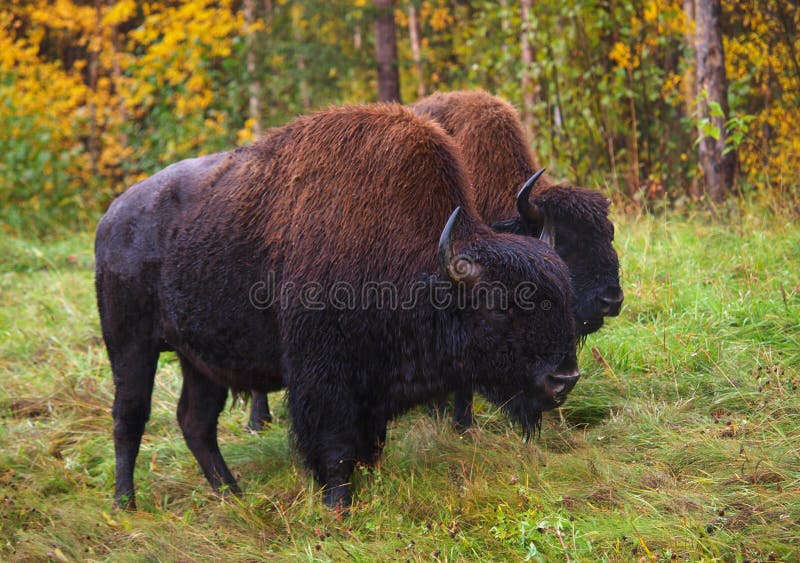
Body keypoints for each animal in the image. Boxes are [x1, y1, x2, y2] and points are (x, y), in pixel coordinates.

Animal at [96, 104, 579, 509]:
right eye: (499, 307)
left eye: (561, 298)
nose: (564, 379)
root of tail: (111, 217)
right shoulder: (325, 377)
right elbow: (334, 446)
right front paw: (337, 504)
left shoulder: (373, 386)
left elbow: (369, 444)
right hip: (131, 346)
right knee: (128, 419)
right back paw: (126, 505)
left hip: (202, 360)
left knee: (195, 422)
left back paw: (233, 496)